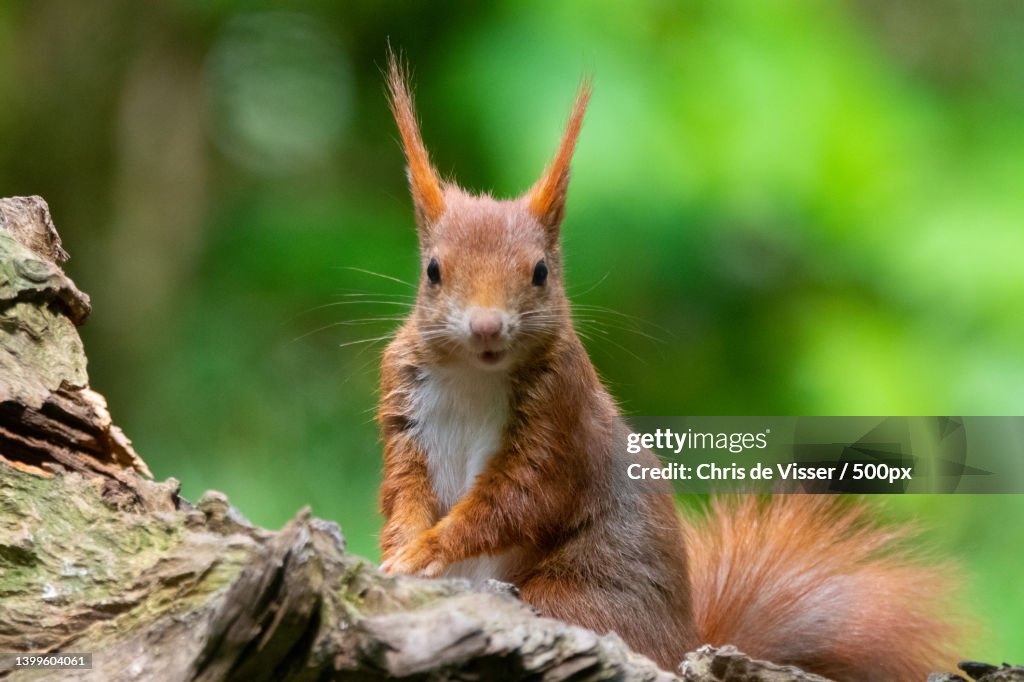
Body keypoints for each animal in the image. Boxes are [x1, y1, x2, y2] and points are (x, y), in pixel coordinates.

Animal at [375, 54, 960, 680]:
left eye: (540, 272)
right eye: (433, 271)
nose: (486, 327)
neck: (474, 377)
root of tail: (680, 643)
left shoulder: (559, 425)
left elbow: (514, 503)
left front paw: (428, 548)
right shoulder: (405, 411)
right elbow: (403, 490)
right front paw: (398, 548)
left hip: (579, 595)